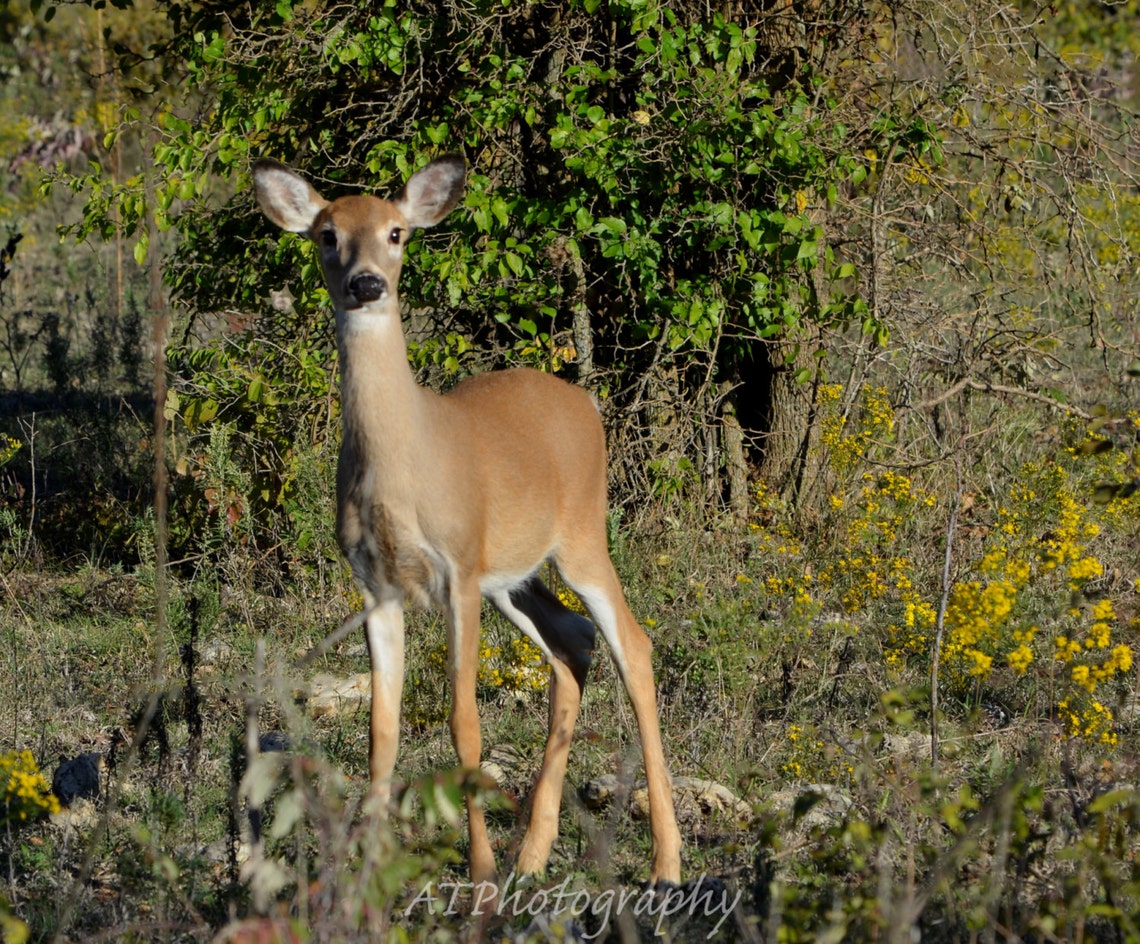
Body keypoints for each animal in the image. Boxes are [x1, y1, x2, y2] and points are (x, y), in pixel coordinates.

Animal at [252, 154, 682, 890]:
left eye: (396, 232)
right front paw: (365, 869)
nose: (366, 283)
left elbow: (465, 724)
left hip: (580, 537)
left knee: (634, 645)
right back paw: (532, 852)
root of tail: (586, 404)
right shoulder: (378, 585)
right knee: (573, 644)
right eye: (327, 234)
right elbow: (382, 728)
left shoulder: (457, 567)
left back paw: (665, 862)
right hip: (511, 576)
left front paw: (477, 872)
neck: (402, 466)